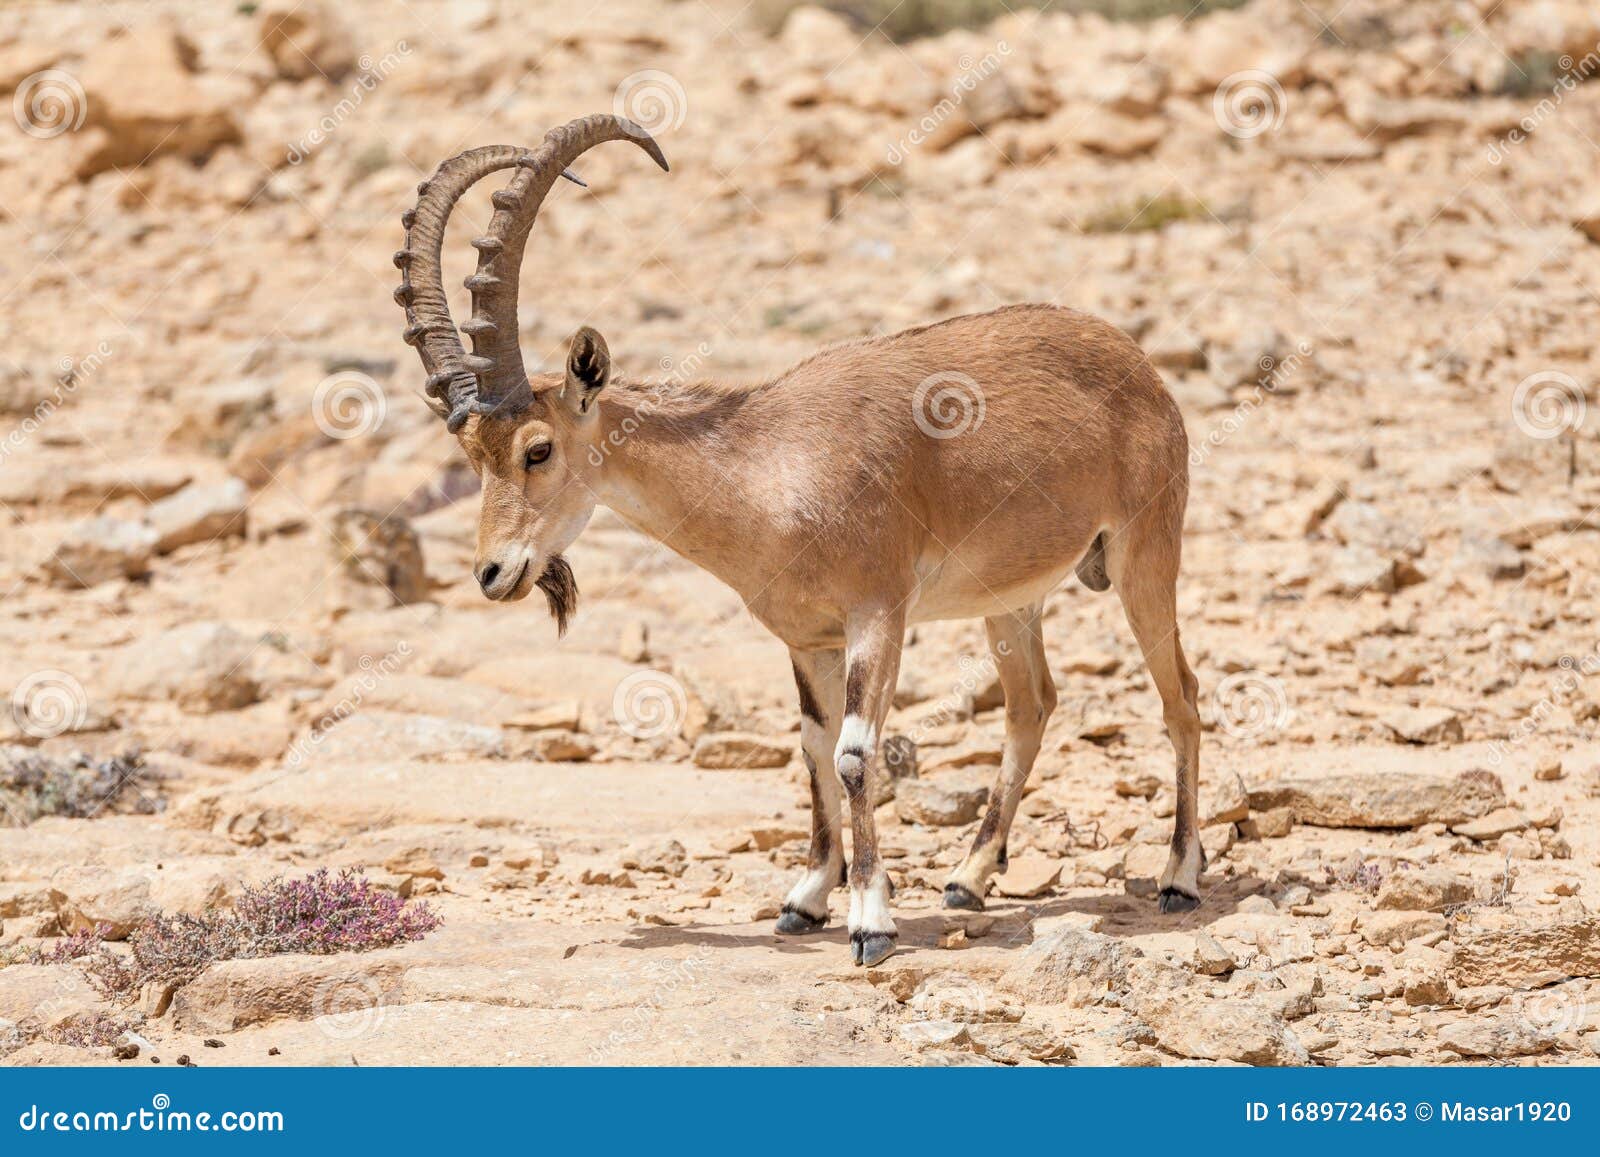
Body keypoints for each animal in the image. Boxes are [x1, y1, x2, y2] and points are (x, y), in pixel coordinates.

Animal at [395, 114, 1202, 967]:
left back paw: (1179, 876)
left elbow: (854, 753)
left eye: (538, 449)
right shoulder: (805, 636)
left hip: (1147, 552)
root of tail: (1137, 361)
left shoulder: (878, 613)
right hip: (1009, 597)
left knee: (1180, 695)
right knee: (1032, 704)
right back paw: (969, 877)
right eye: (471, 454)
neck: (767, 474)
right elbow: (814, 748)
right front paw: (807, 898)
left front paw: (871, 920)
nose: (492, 572)